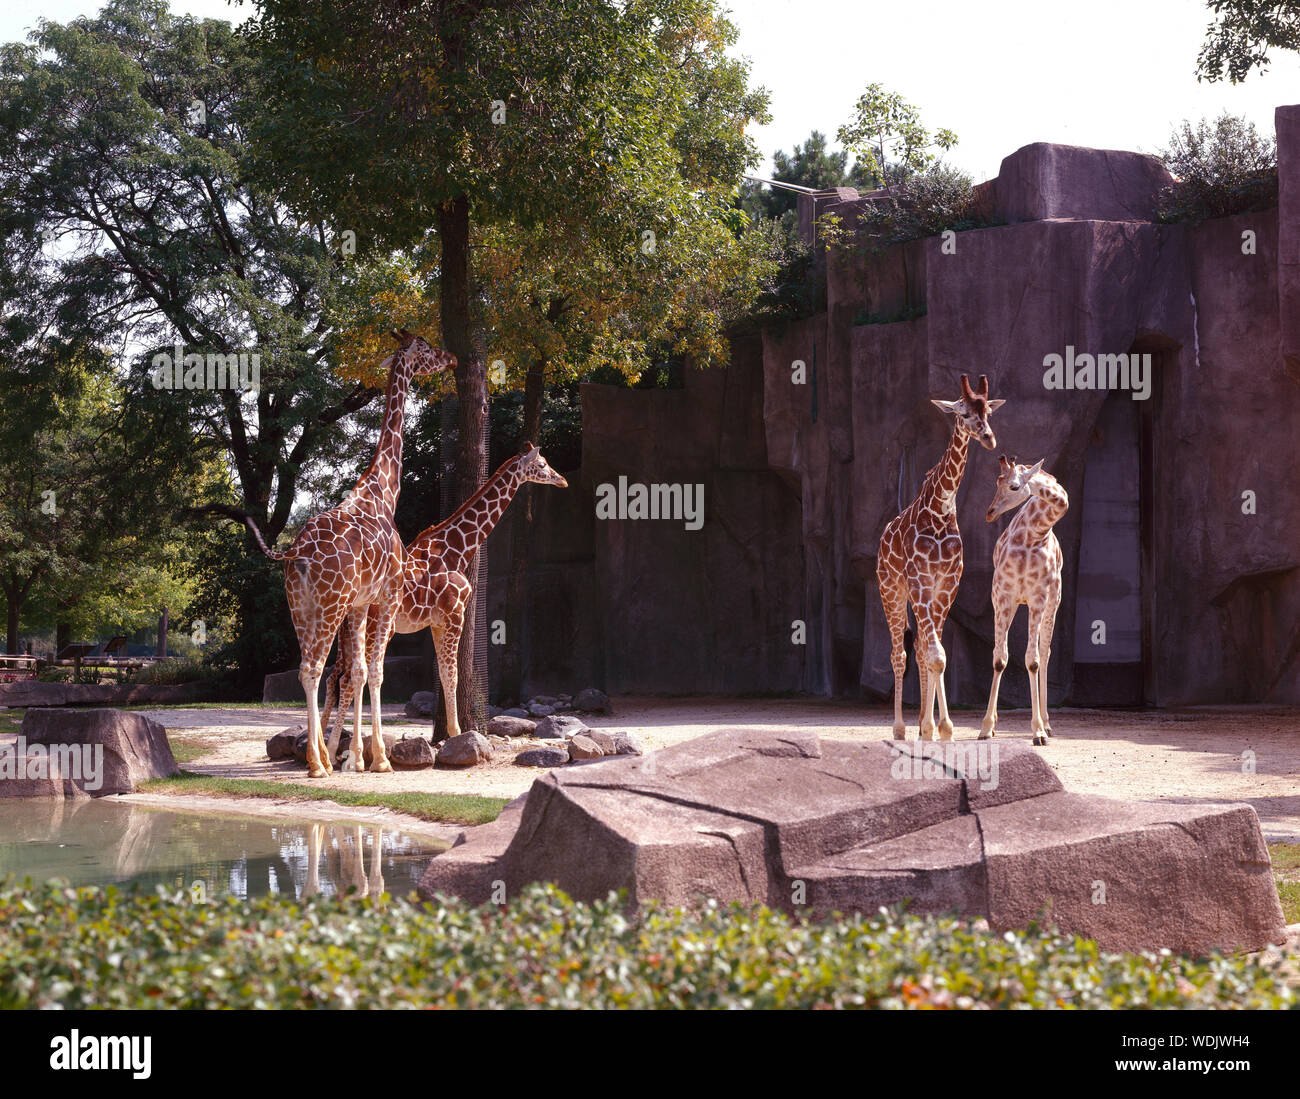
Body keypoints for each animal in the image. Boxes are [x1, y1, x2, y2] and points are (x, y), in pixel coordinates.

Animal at [231, 332, 455, 777]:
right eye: (426, 347)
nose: (452, 357)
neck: (384, 491)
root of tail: (294, 555)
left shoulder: (360, 603)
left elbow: (358, 670)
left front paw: (357, 757)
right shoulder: (385, 596)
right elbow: (377, 672)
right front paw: (378, 759)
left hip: (300, 606)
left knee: (310, 669)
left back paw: (320, 757)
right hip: (328, 604)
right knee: (312, 668)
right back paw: (317, 764)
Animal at [322, 443, 568, 758]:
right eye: (542, 463)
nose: (562, 480)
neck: (457, 550)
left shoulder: (438, 623)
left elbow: (443, 673)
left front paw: (449, 735)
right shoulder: (454, 615)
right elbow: (453, 674)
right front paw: (457, 734)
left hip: (348, 633)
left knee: (336, 676)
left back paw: (325, 746)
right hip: (376, 628)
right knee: (350, 677)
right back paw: (335, 748)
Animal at [877, 374, 1004, 741]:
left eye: (988, 412)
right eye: (963, 413)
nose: (989, 438)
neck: (939, 509)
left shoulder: (947, 584)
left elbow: (938, 654)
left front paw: (939, 726)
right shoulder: (919, 581)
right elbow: (935, 655)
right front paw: (941, 726)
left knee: (919, 649)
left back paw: (923, 725)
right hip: (891, 591)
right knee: (899, 653)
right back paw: (900, 727)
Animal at [979, 457, 1069, 747]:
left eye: (1015, 486)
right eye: (997, 481)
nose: (990, 512)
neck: (1033, 536)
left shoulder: (1039, 598)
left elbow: (1033, 660)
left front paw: (1038, 731)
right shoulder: (1001, 596)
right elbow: (999, 659)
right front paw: (986, 727)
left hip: (1053, 604)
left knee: (1044, 652)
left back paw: (1048, 724)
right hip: (1012, 606)